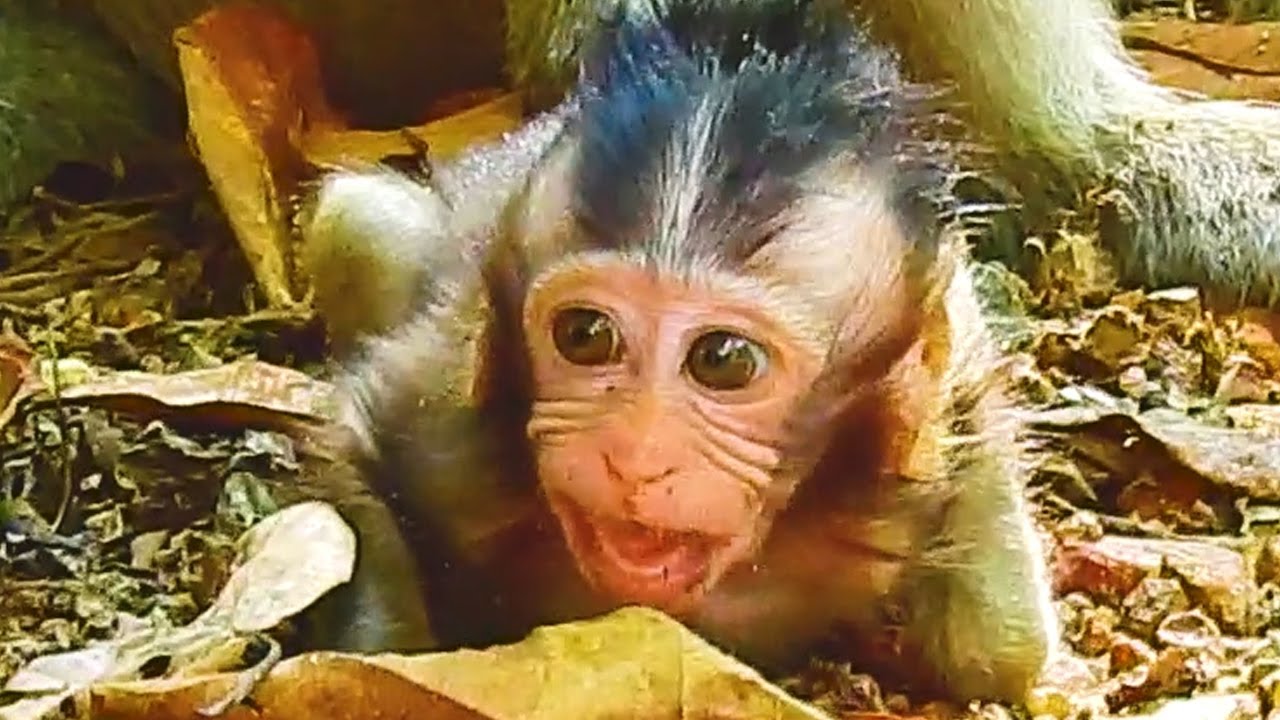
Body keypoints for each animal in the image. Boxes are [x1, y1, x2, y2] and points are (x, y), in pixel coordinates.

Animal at [294, 0, 1062, 706]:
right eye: (585, 335)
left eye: (723, 360)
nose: (634, 457)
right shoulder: (447, 435)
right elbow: (358, 457)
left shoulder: (941, 411)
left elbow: (1002, 652)